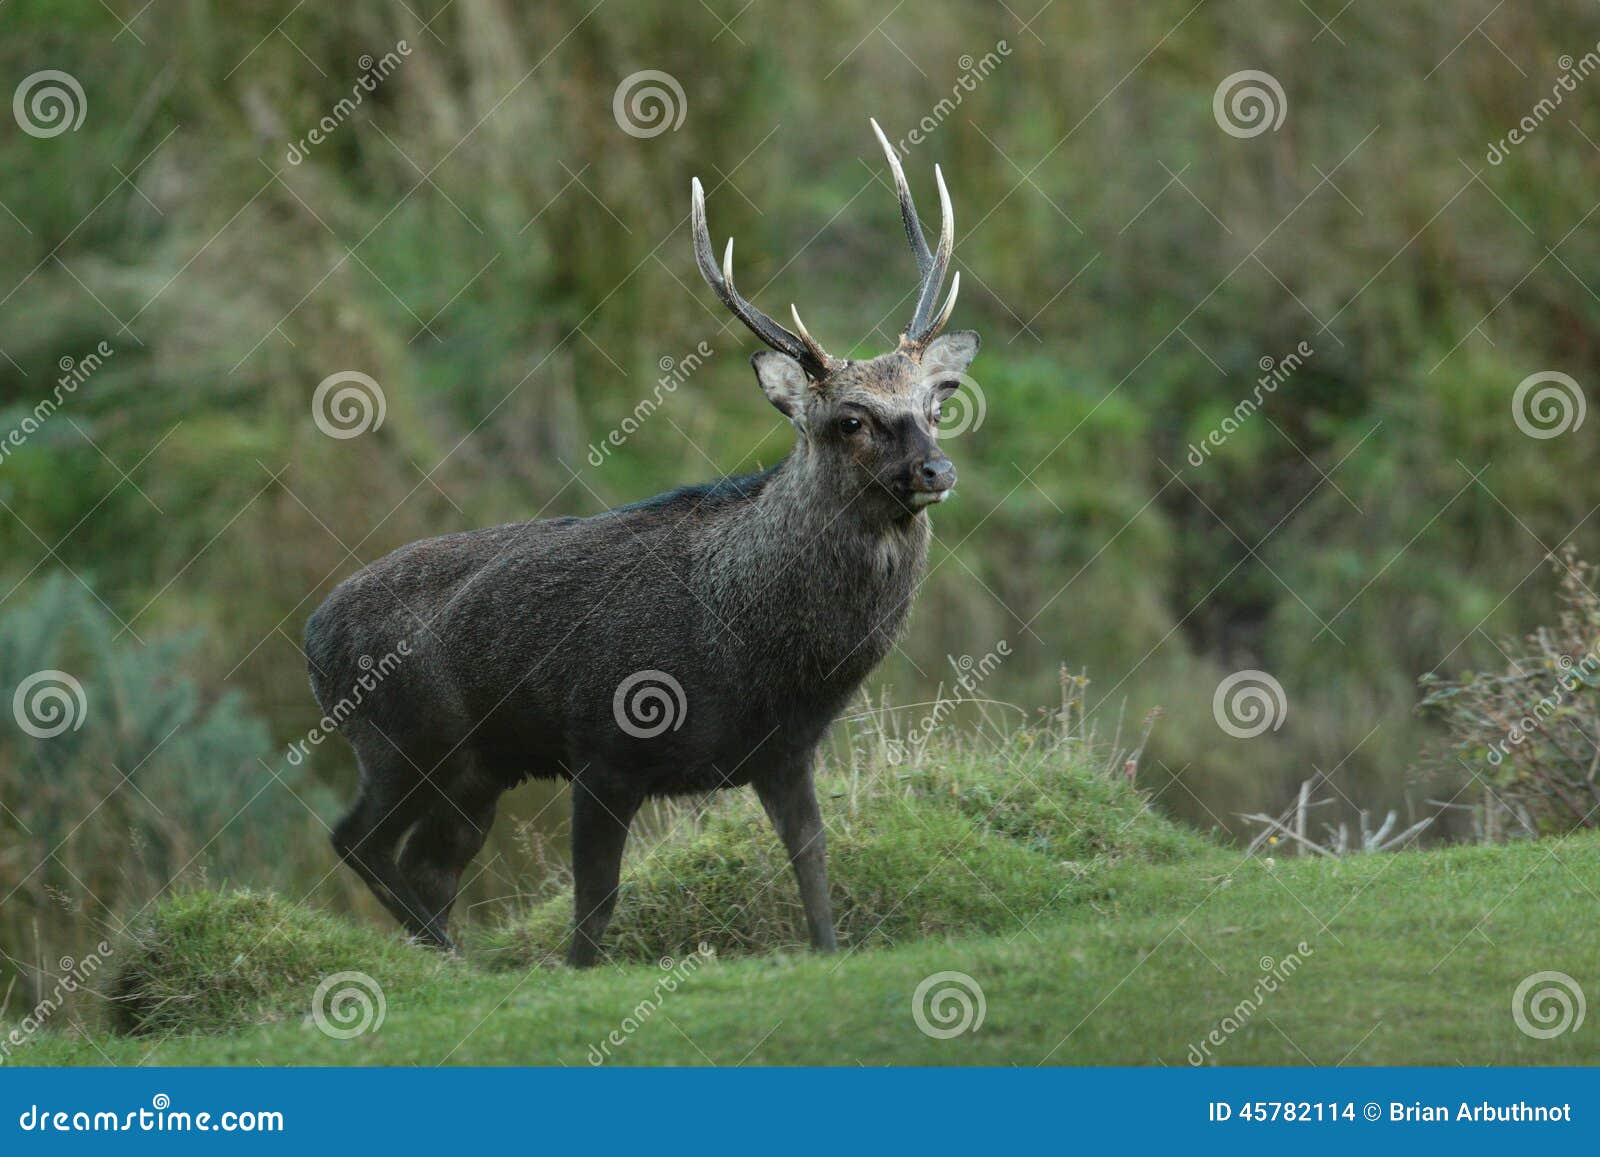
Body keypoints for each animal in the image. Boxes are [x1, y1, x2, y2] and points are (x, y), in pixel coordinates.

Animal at [304, 119, 979, 966]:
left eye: (935, 404)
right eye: (850, 419)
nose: (936, 469)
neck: (753, 651)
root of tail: (310, 635)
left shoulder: (784, 752)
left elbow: (814, 872)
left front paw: (828, 947)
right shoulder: (604, 748)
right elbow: (594, 907)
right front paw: (574, 973)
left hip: (477, 768)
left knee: (427, 865)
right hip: (401, 740)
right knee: (354, 839)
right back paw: (448, 955)